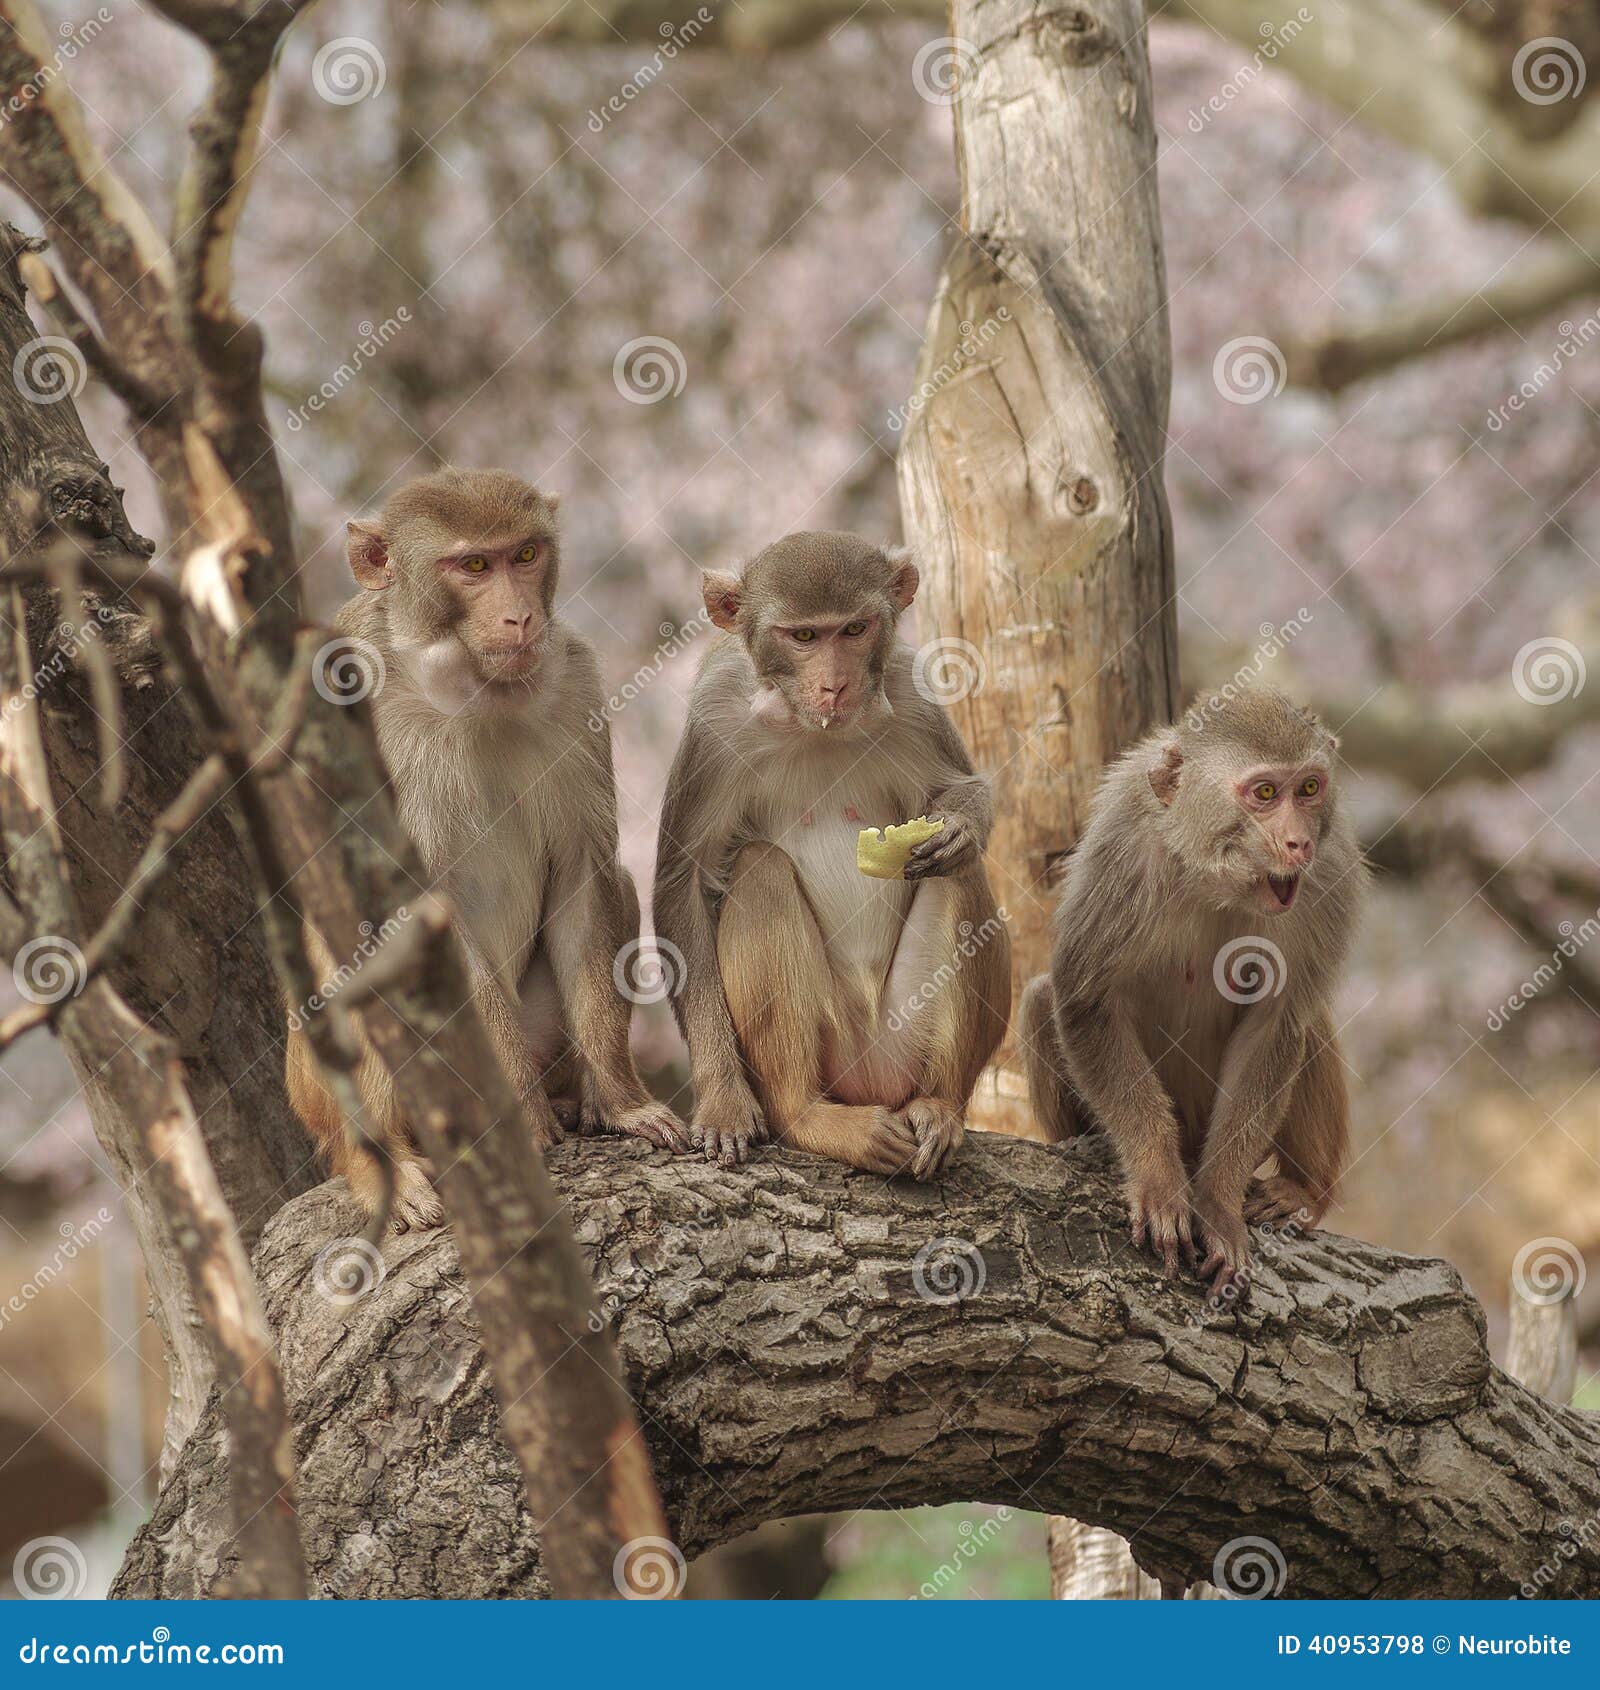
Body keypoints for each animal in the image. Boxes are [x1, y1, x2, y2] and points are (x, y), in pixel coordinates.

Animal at [286, 467, 689, 1229]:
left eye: (525, 555)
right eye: (473, 566)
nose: (520, 618)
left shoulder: (575, 681)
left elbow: (585, 876)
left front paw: (621, 1103)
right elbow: (408, 916)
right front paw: (522, 1127)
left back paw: (573, 1093)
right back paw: (381, 1161)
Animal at [654, 531, 1011, 1178]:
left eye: (853, 629)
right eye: (803, 637)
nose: (835, 686)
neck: (809, 725)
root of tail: (872, 1077)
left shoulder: (911, 691)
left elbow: (960, 794)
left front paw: (959, 827)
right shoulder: (714, 722)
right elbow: (683, 883)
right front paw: (723, 1100)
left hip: (902, 1038)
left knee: (957, 873)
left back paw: (941, 1106)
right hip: (833, 1047)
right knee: (761, 869)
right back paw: (809, 1117)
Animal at [1020, 686, 1365, 1301]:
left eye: (1308, 788)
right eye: (1264, 793)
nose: (1298, 841)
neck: (1216, 881)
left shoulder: (1328, 876)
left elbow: (1275, 1024)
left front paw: (1218, 1204)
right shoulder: (1121, 849)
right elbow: (1086, 1000)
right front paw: (1158, 1178)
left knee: (1308, 1022)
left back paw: (1304, 1189)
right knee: (1043, 998)